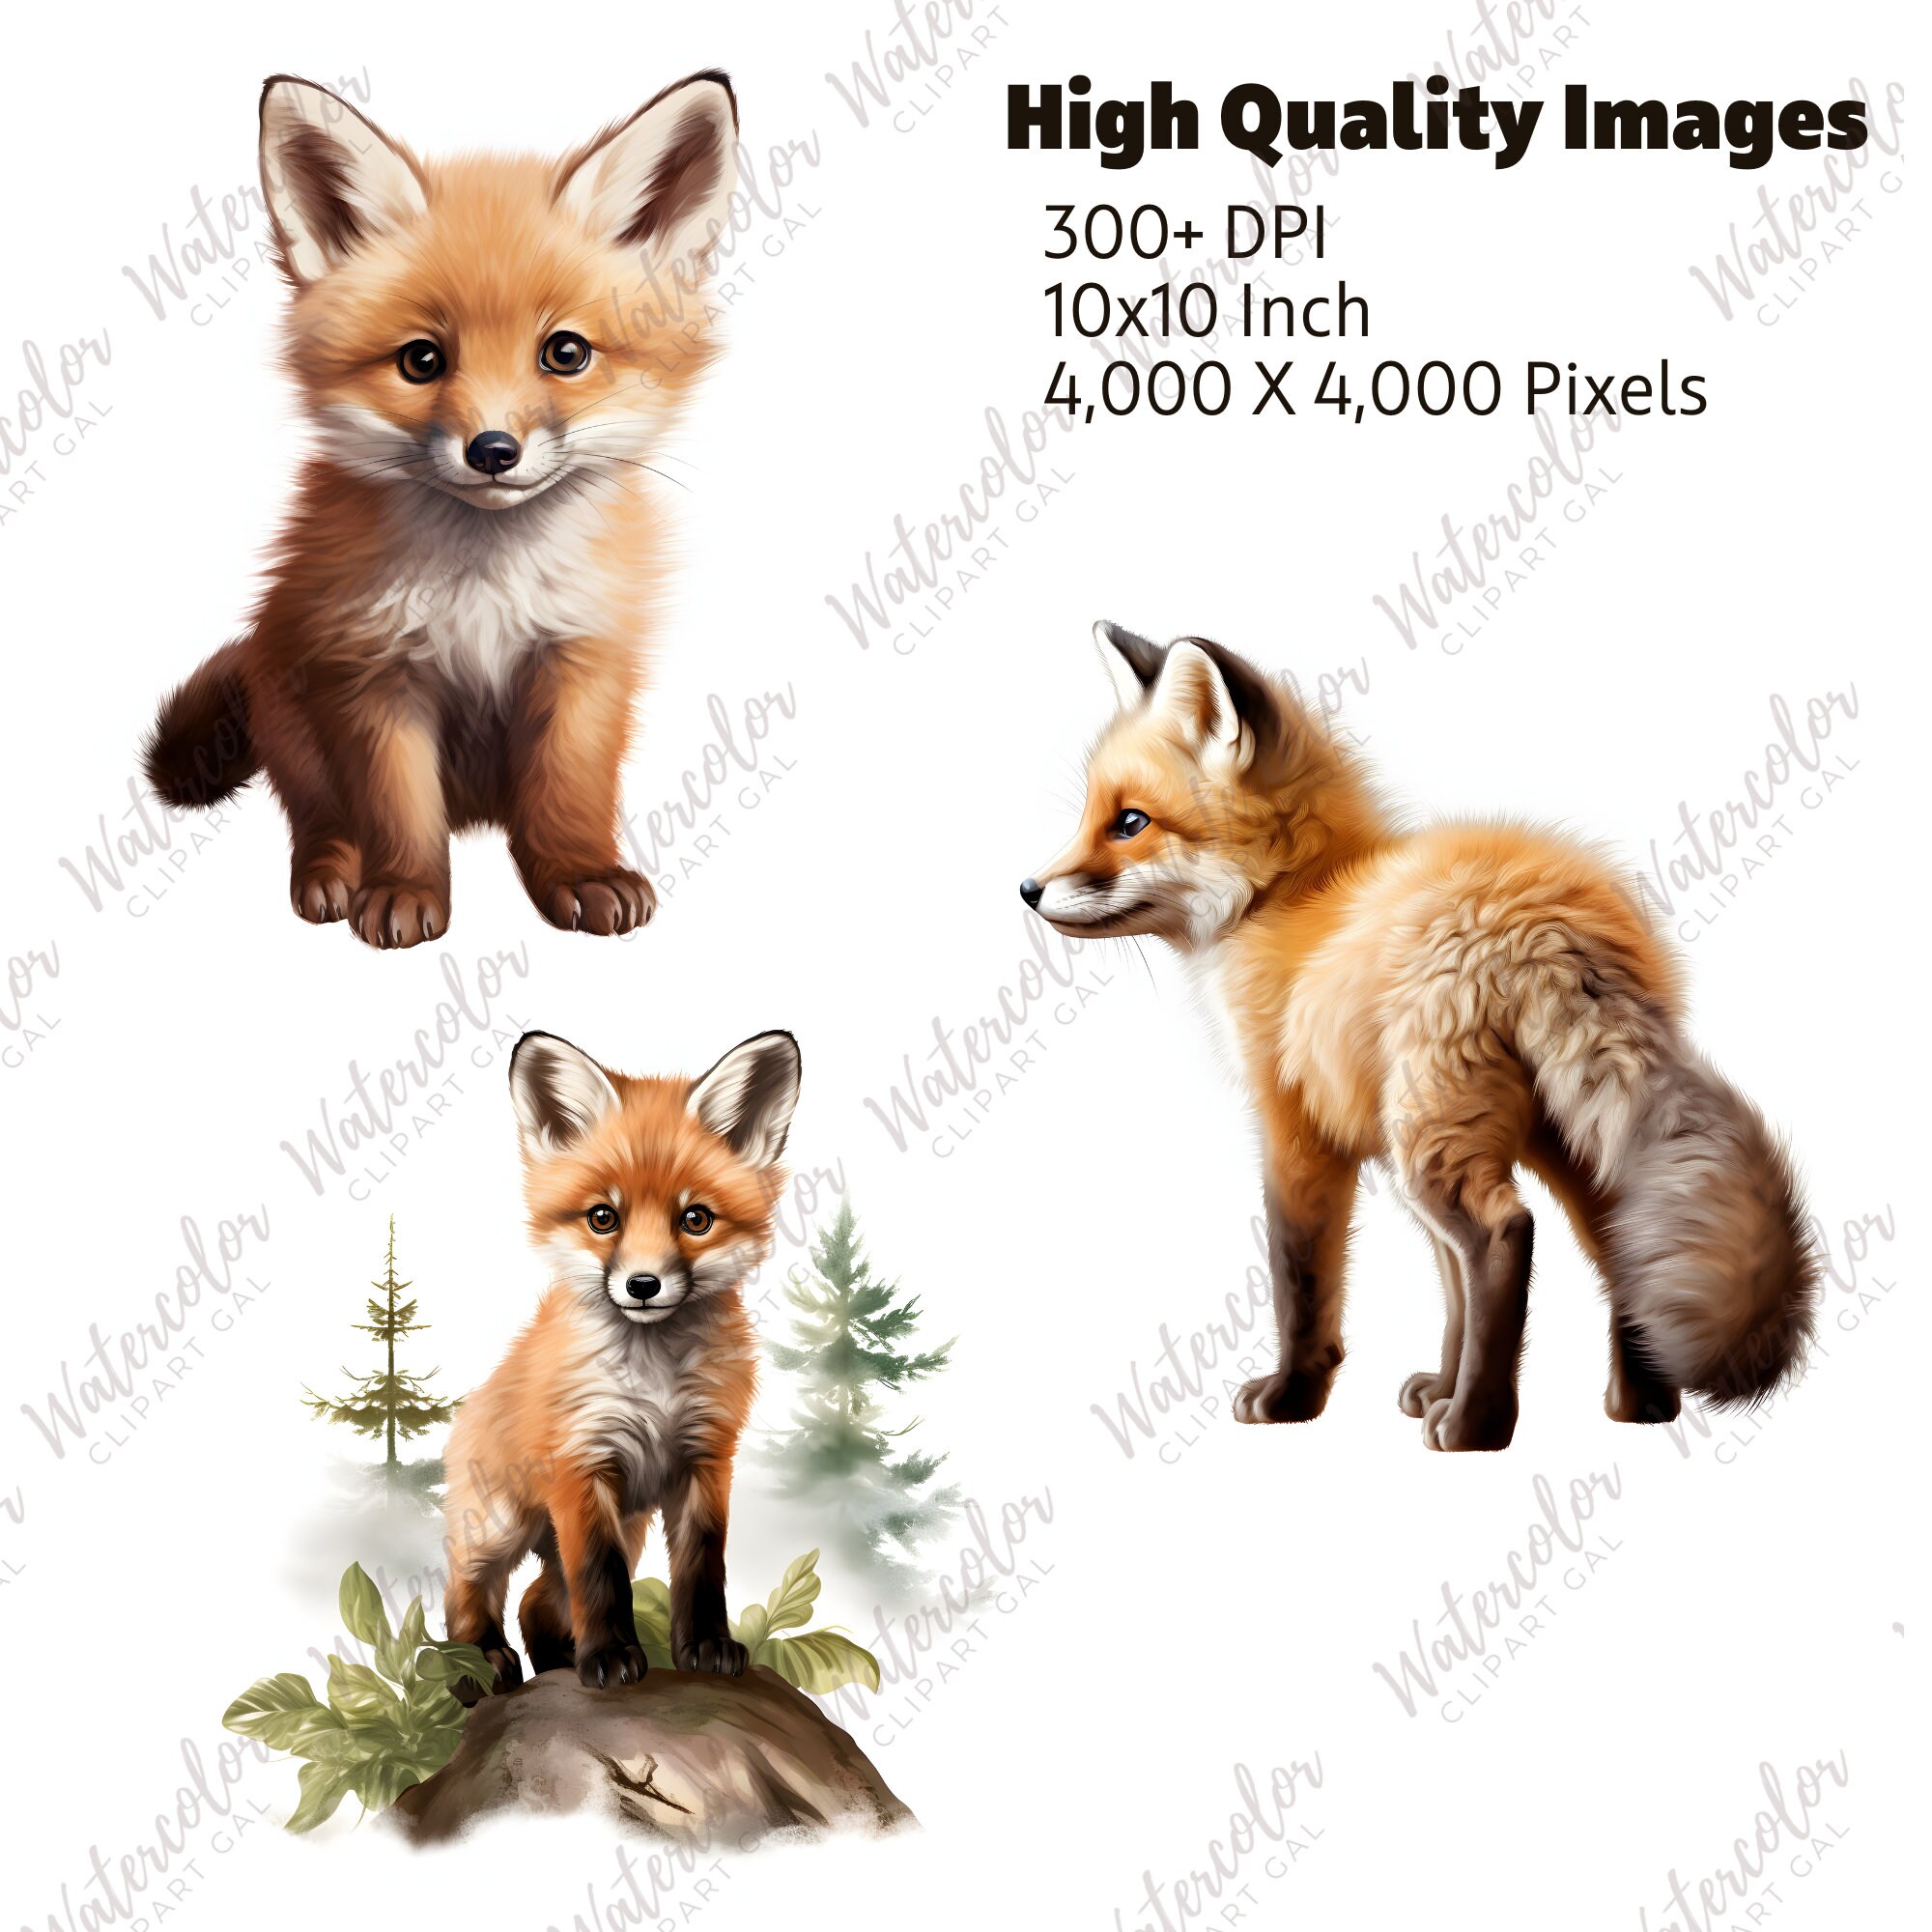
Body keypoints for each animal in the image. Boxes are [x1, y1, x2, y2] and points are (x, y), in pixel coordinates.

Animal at [141, 71, 741, 948]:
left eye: (566, 353)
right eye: (422, 360)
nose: (493, 450)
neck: (484, 583)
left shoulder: (581, 659)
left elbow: (568, 792)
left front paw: (577, 874)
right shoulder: (373, 673)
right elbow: (398, 808)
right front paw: (401, 891)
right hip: (293, 721)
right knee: (321, 818)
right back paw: (329, 873)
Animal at [441, 1026, 801, 1694]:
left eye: (696, 1219)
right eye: (603, 1217)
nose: (642, 1285)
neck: (654, 1381)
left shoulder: (706, 1458)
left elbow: (703, 1570)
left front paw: (706, 1646)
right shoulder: (581, 1464)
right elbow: (599, 1580)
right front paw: (608, 1656)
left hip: (625, 1527)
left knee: (536, 1600)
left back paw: (555, 1661)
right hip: (500, 1526)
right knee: (467, 1587)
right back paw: (479, 1665)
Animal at [1022, 622, 1819, 1450]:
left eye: (1131, 823)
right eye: (1092, 817)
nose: (1028, 890)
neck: (1291, 900)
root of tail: (1544, 921)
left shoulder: (1297, 1126)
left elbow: (1301, 1280)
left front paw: (1295, 1396)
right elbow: (1451, 1290)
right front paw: (1438, 1381)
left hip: (1433, 1135)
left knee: (1505, 1232)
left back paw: (1479, 1426)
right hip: (1530, 1135)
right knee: (1610, 1235)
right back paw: (1639, 1401)